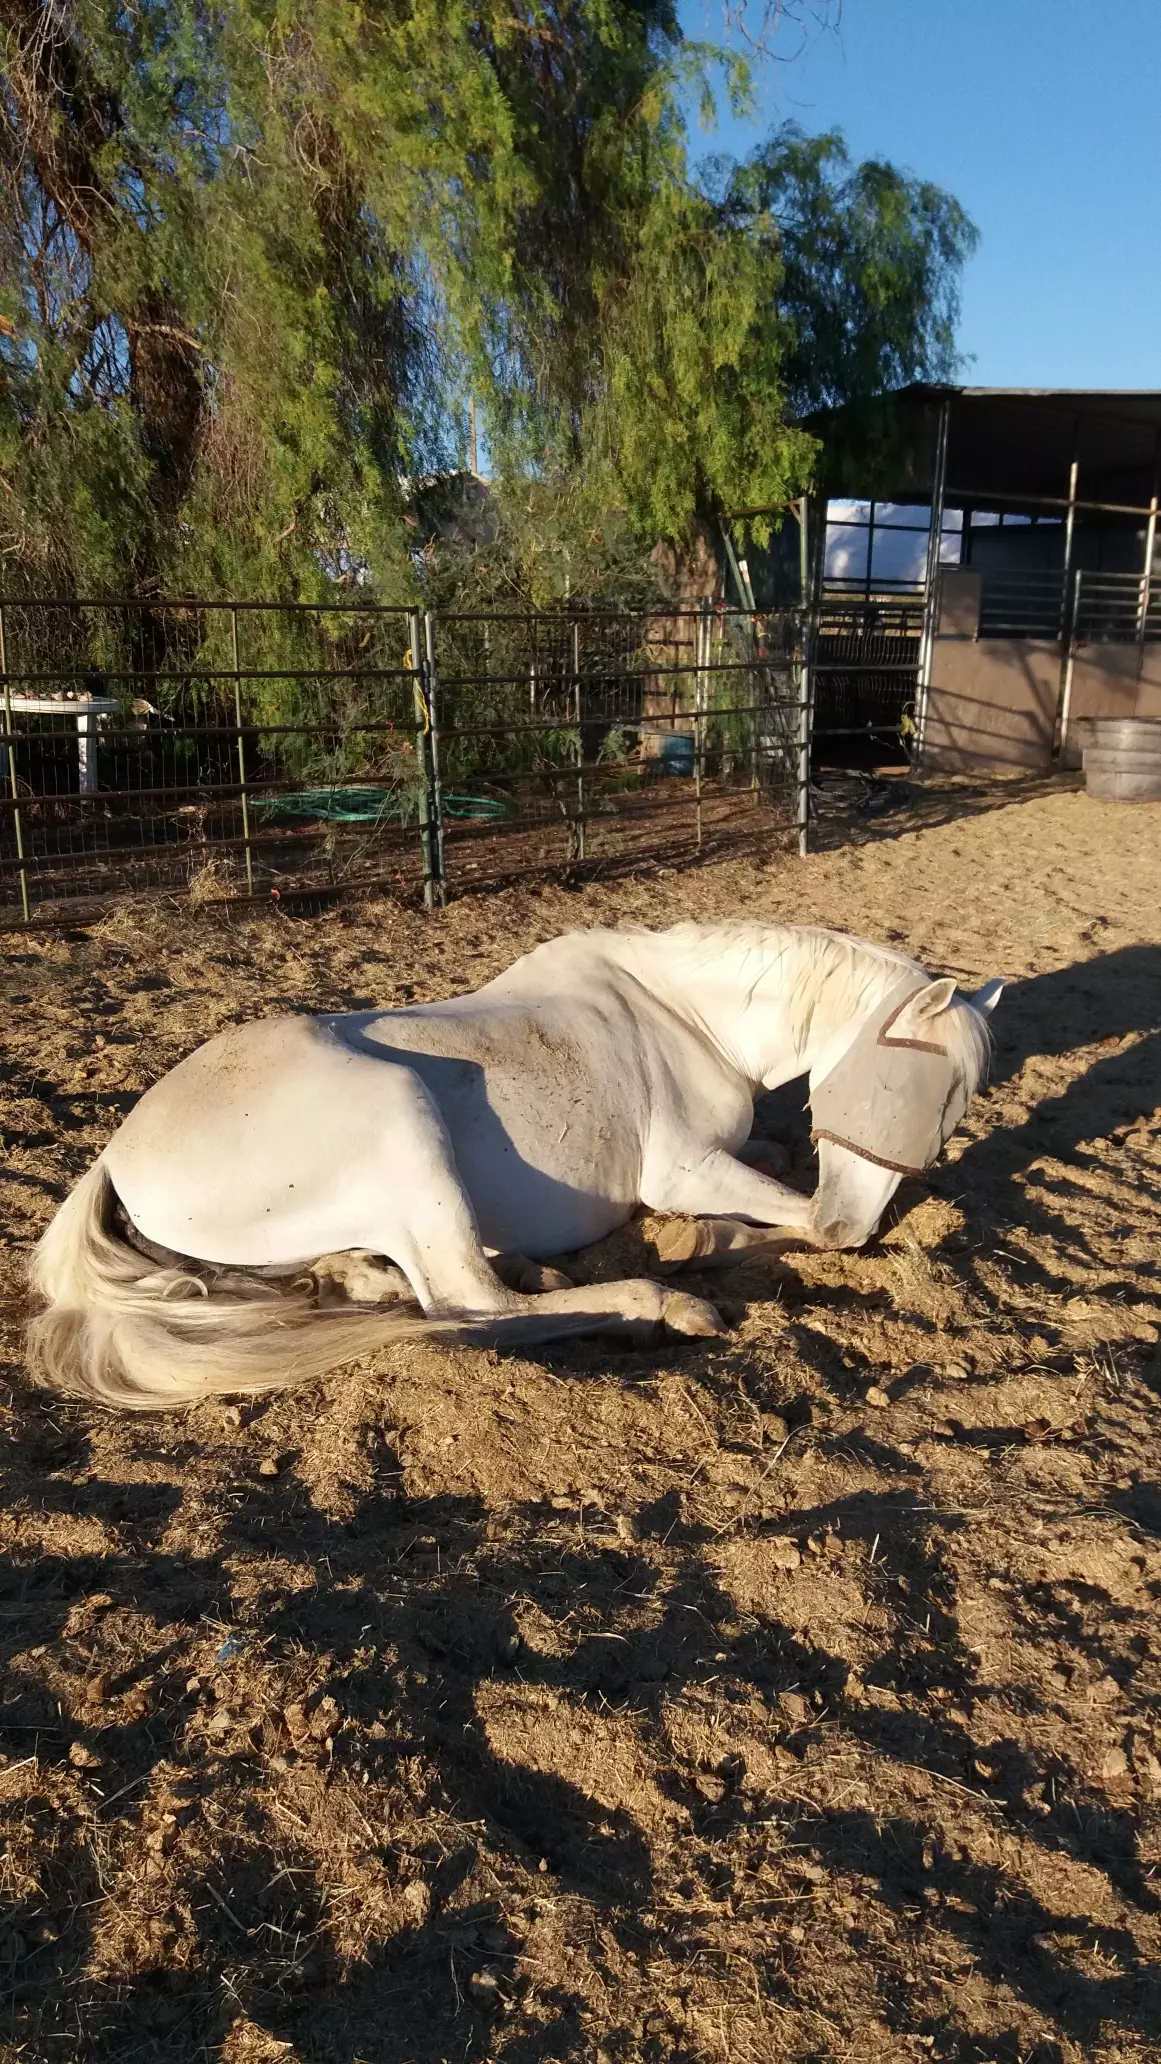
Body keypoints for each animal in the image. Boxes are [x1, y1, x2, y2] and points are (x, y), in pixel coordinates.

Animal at [31, 928, 999, 1411]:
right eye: (904, 1086)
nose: (853, 1219)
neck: (684, 1017)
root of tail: (115, 1157)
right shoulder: (682, 1171)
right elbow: (779, 1211)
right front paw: (701, 1244)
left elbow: (777, 1168)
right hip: (401, 1123)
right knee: (468, 1305)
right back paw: (655, 1302)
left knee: (373, 1277)